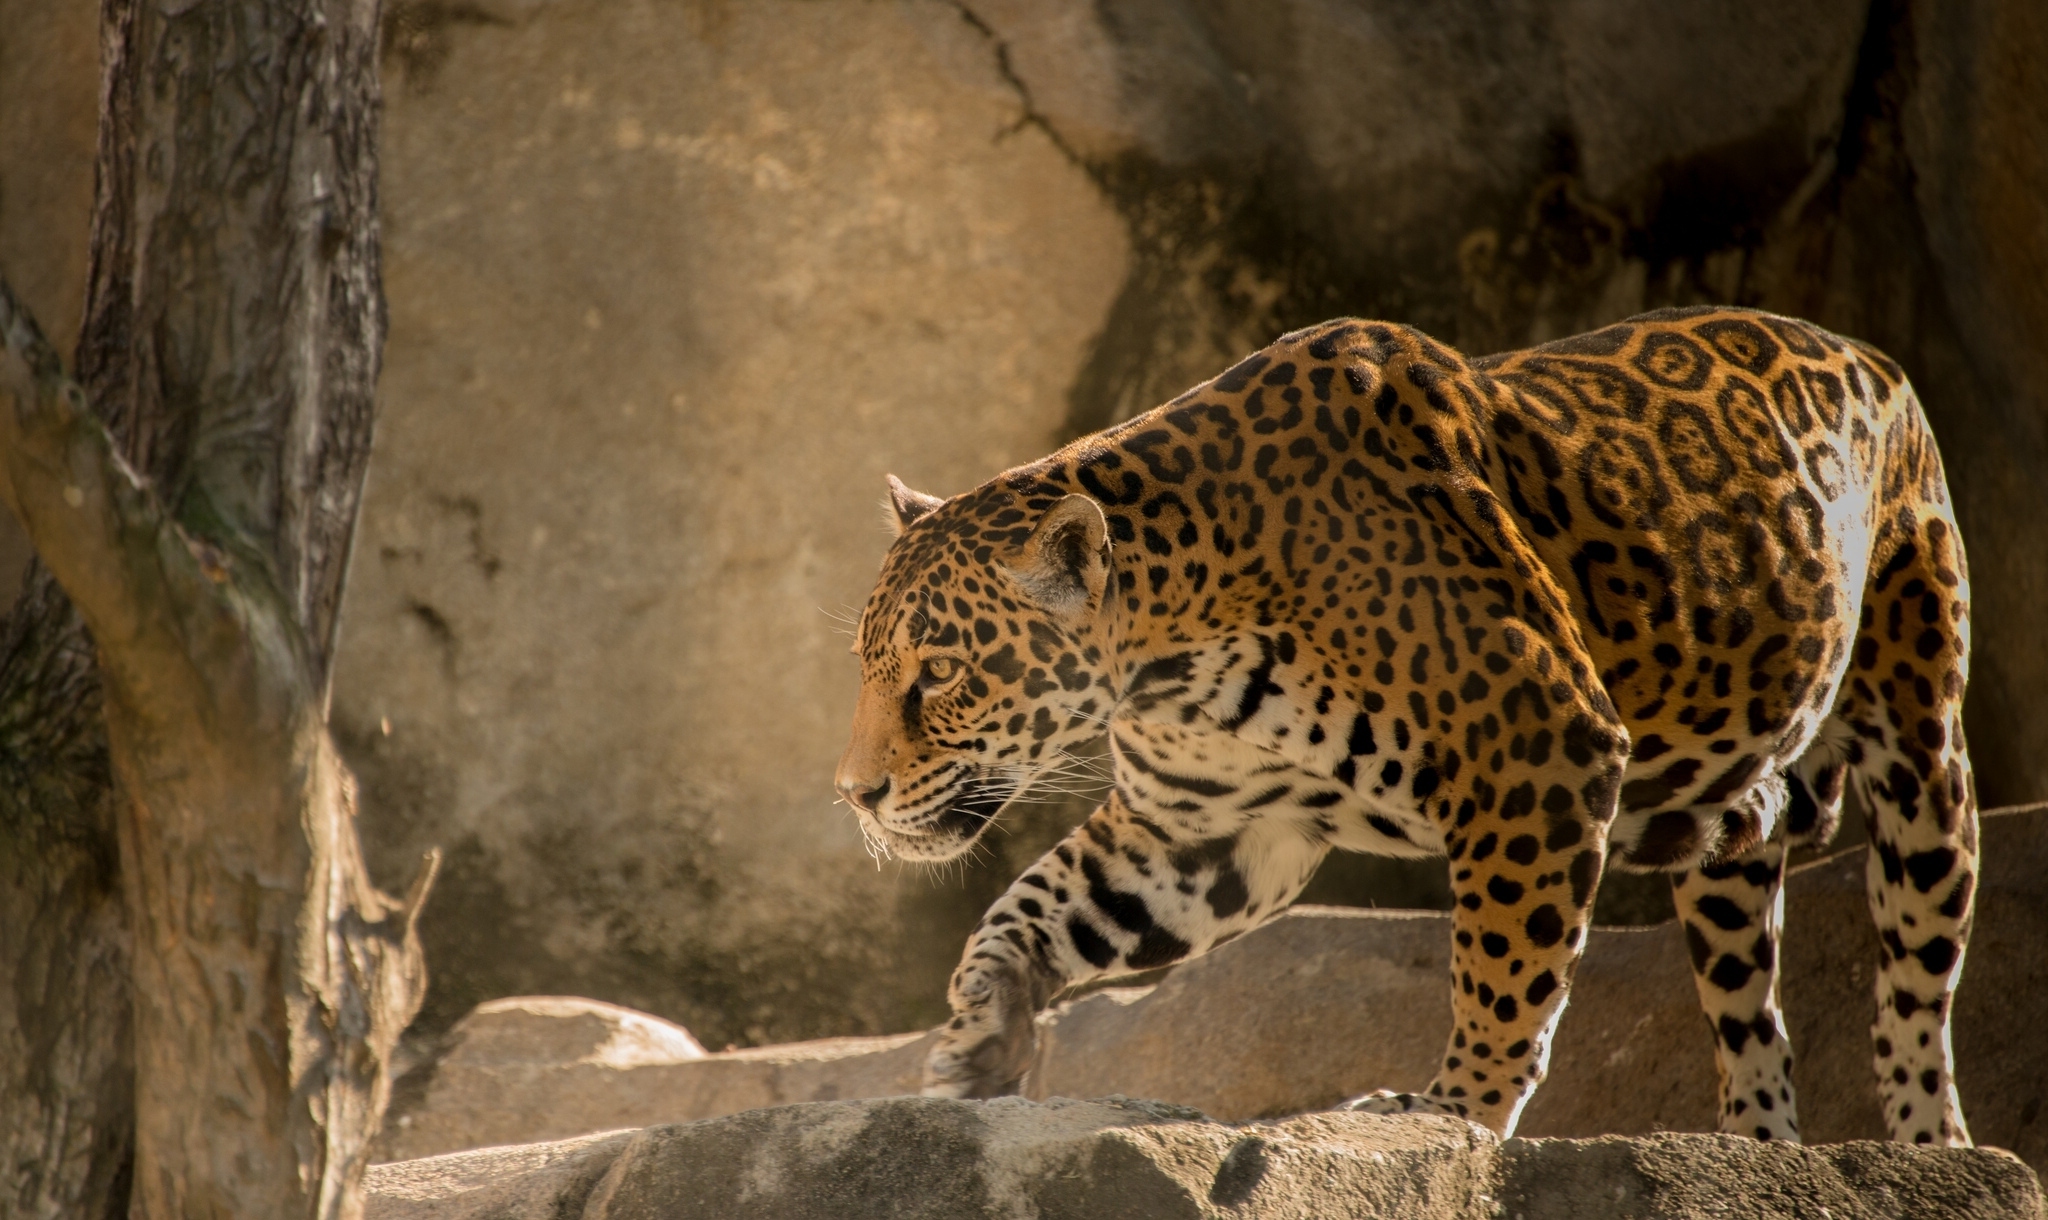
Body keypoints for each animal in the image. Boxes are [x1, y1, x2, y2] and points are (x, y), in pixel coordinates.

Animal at [834, 306, 1979, 1145]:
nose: (855, 794)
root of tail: (1873, 356)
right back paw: (1755, 1148)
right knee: (1753, 1014)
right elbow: (1035, 906)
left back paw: (1932, 1150)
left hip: (1920, 744)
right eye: (867, 668)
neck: (1176, 646)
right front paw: (981, 1034)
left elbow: (1504, 965)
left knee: (1914, 991)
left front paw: (1453, 1111)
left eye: (939, 674)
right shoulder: (1200, 832)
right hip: (1727, 849)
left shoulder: (1537, 746)